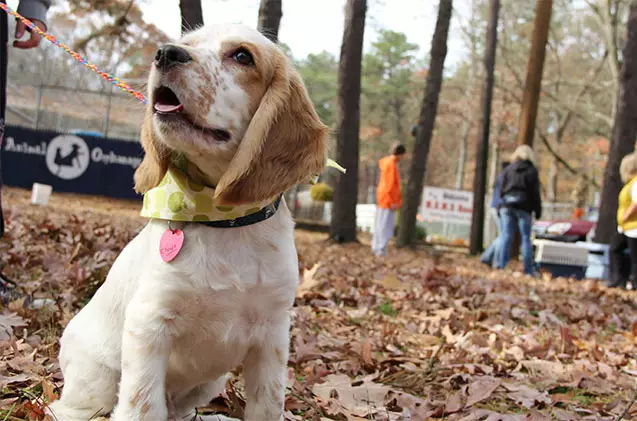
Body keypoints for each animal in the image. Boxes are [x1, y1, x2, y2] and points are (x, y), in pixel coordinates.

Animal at [47, 23, 328, 420]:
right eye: (186, 43)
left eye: (243, 56)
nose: (165, 53)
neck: (223, 221)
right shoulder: (149, 323)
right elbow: (141, 407)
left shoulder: (272, 335)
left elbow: (267, 405)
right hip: (96, 380)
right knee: (70, 408)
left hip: (210, 382)